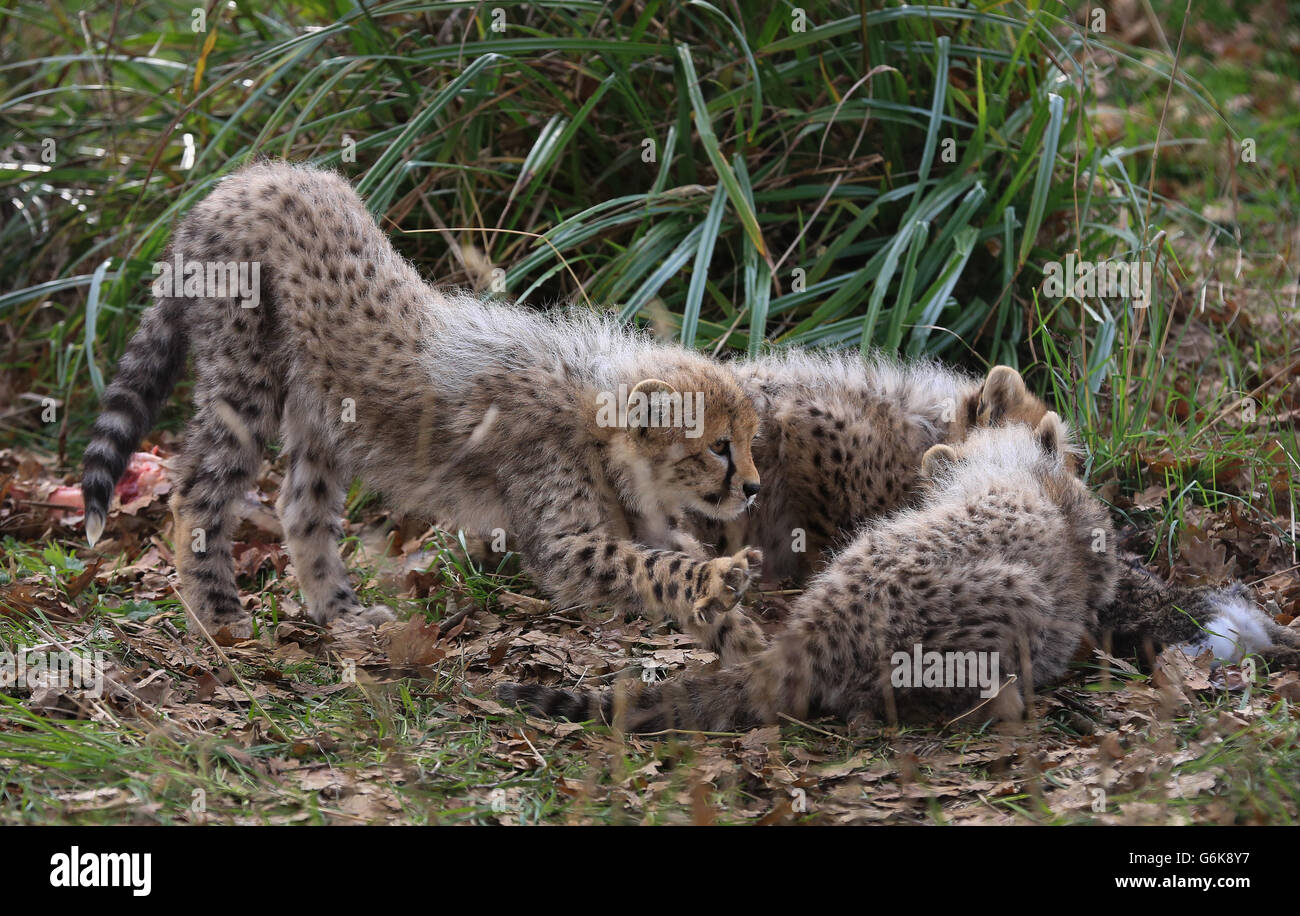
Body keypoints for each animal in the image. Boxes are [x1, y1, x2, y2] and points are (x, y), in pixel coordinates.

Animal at [80, 160, 764, 645]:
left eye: (751, 441)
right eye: (719, 447)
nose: (754, 488)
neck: (597, 414)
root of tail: (249, 178)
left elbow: (665, 560)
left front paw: (740, 627)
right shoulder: (565, 543)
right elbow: (650, 567)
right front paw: (720, 580)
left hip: (322, 409)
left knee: (300, 506)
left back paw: (340, 612)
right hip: (243, 373)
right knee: (199, 488)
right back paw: (218, 614)